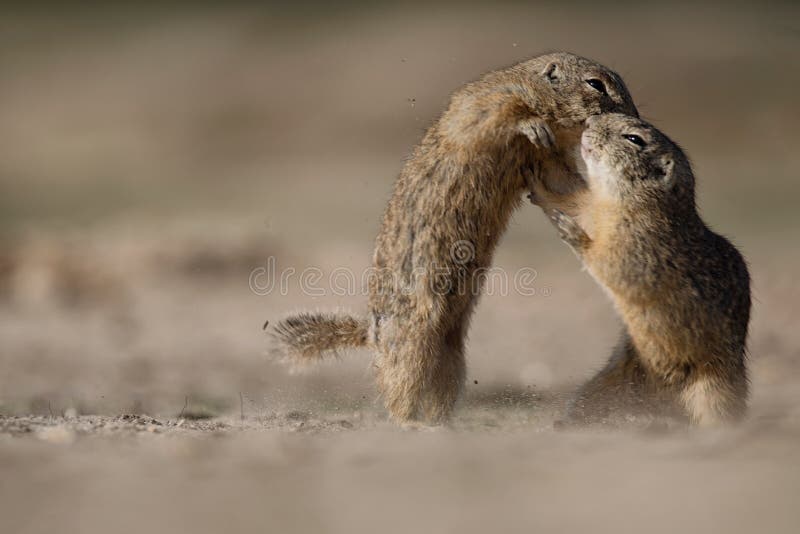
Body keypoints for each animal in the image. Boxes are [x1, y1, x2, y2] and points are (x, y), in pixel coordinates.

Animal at [272, 53, 638, 424]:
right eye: (595, 84)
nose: (634, 118)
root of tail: (372, 336)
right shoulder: (484, 104)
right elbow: (498, 117)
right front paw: (533, 126)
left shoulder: (547, 161)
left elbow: (558, 182)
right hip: (412, 346)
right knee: (398, 392)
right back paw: (408, 424)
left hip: (450, 358)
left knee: (435, 390)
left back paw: (442, 425)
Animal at [534, 113, 750, 426]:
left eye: (634, 138)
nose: (591, 120)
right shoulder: (590, 207)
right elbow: (569, 199)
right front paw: (539, 173)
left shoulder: (637, 246)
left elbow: (608, 262)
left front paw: (571, 232)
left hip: (713, 390)